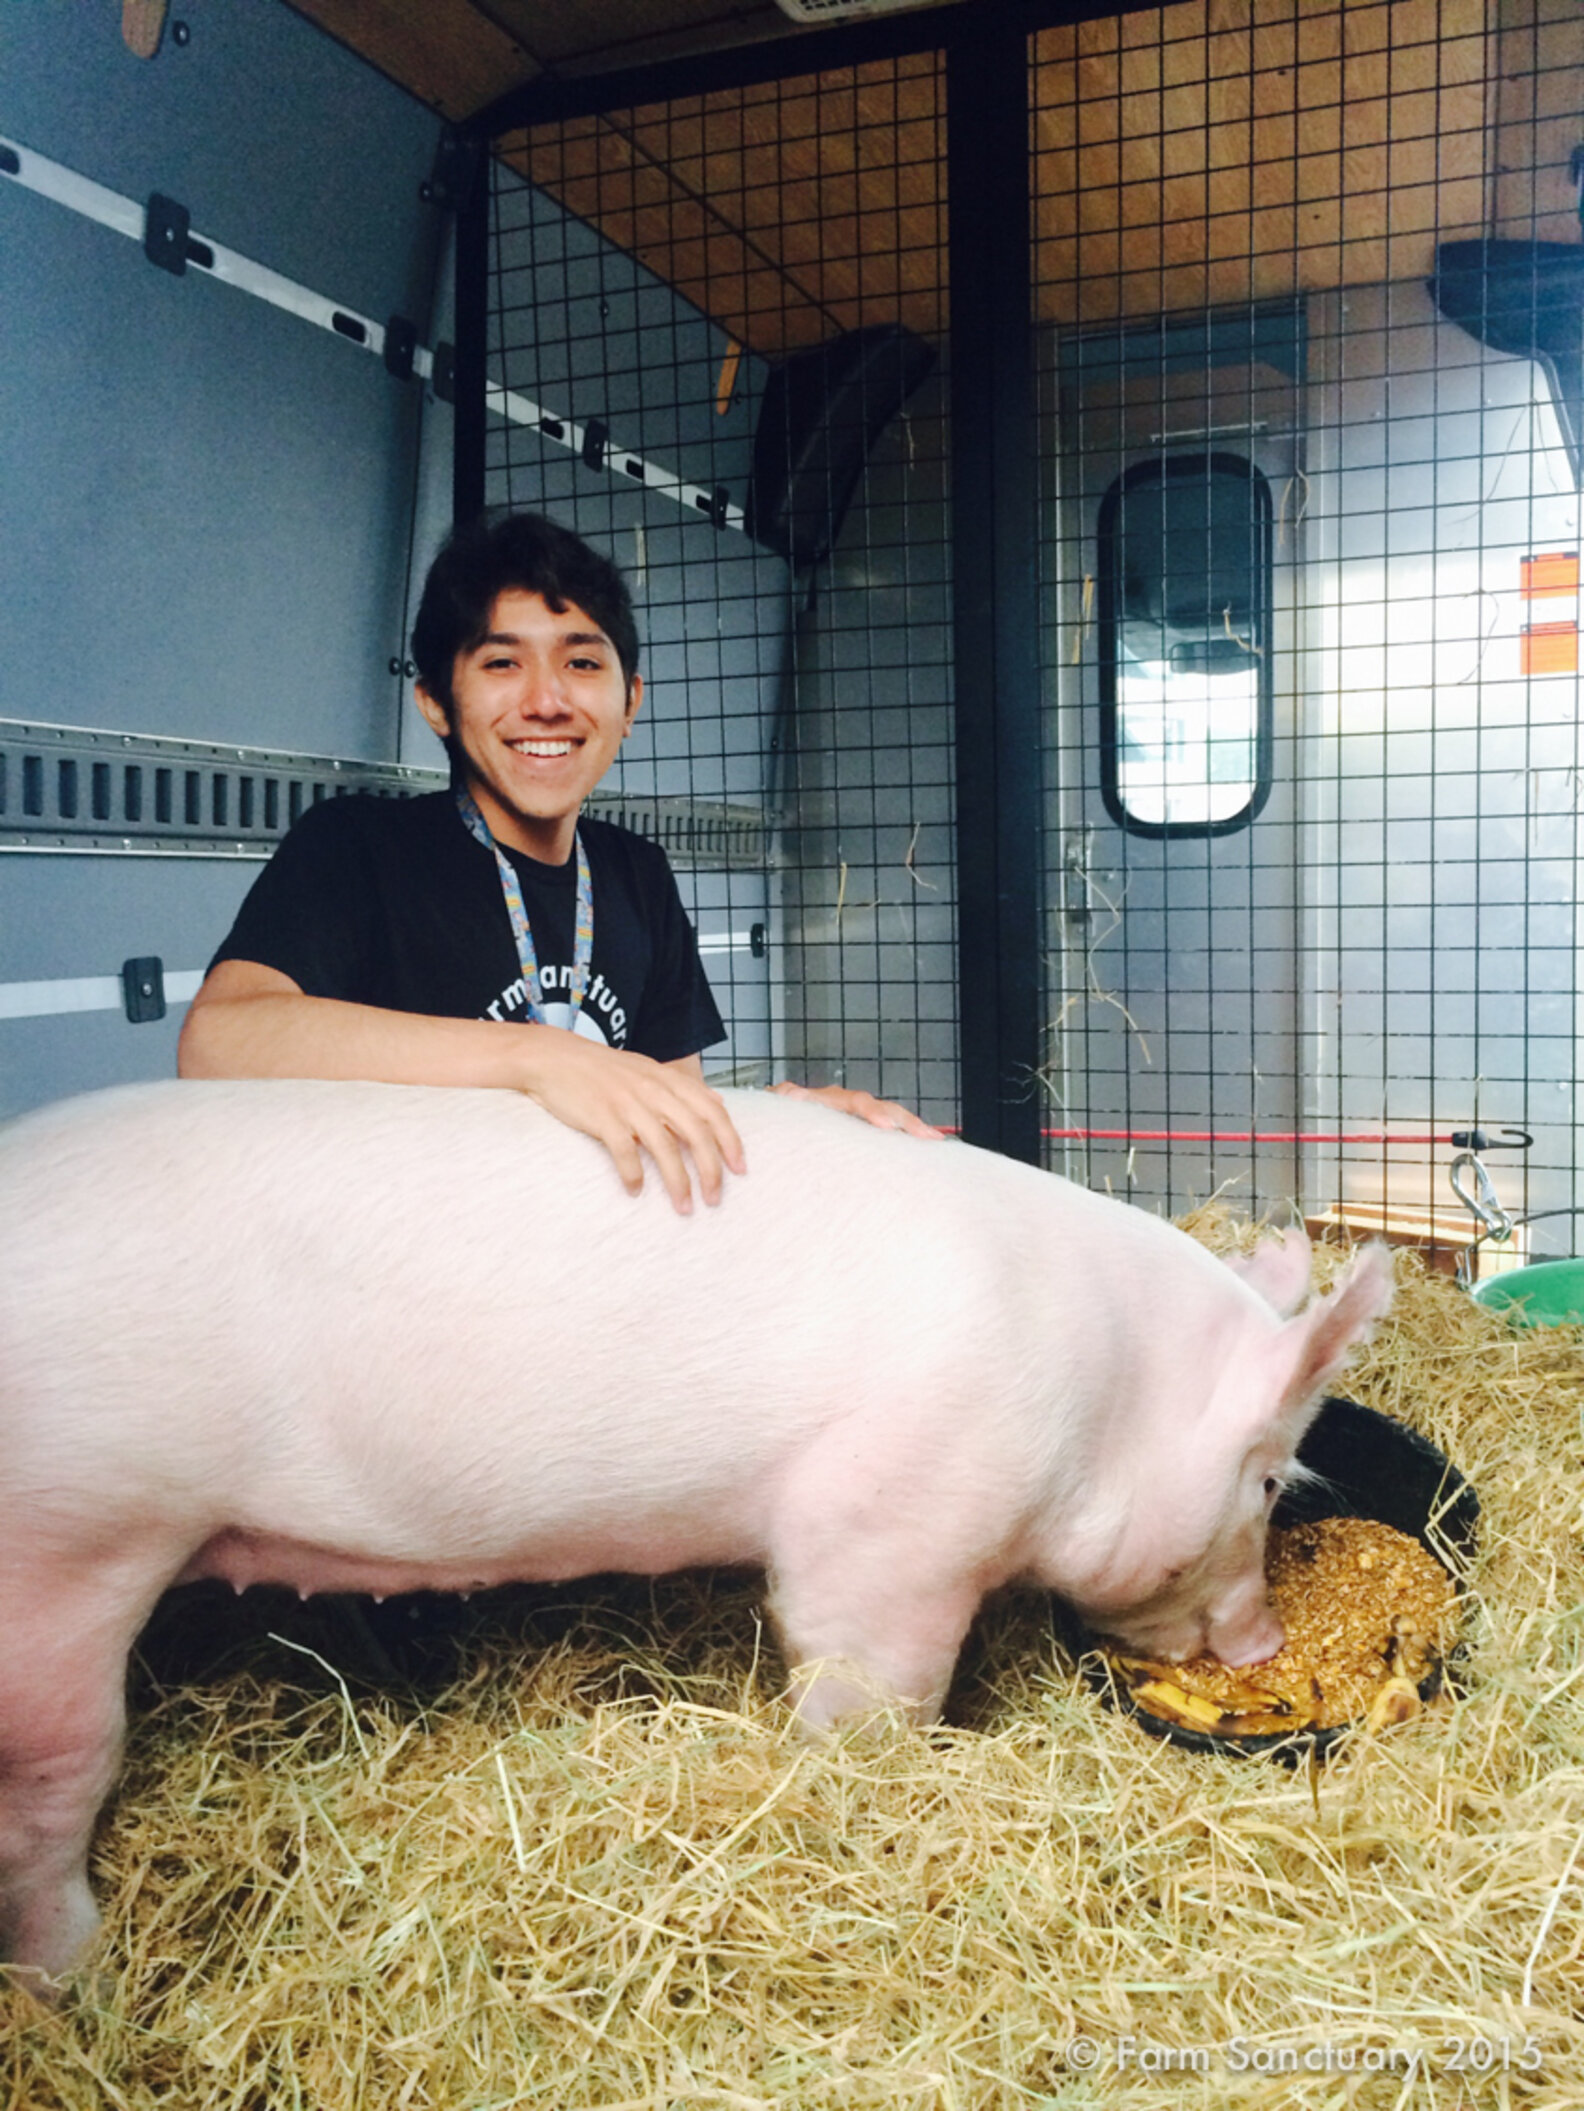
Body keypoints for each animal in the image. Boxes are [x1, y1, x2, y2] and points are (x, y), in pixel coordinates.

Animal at [0, 1078, 1392, 1987]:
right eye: (1270, 1481)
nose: (1264, 1637)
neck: (1100, 1386)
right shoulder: (889, 1523)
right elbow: (871, 1684)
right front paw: (861, 1790)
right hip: (73, 1540)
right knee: (56, 1776)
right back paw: (82, 1978)